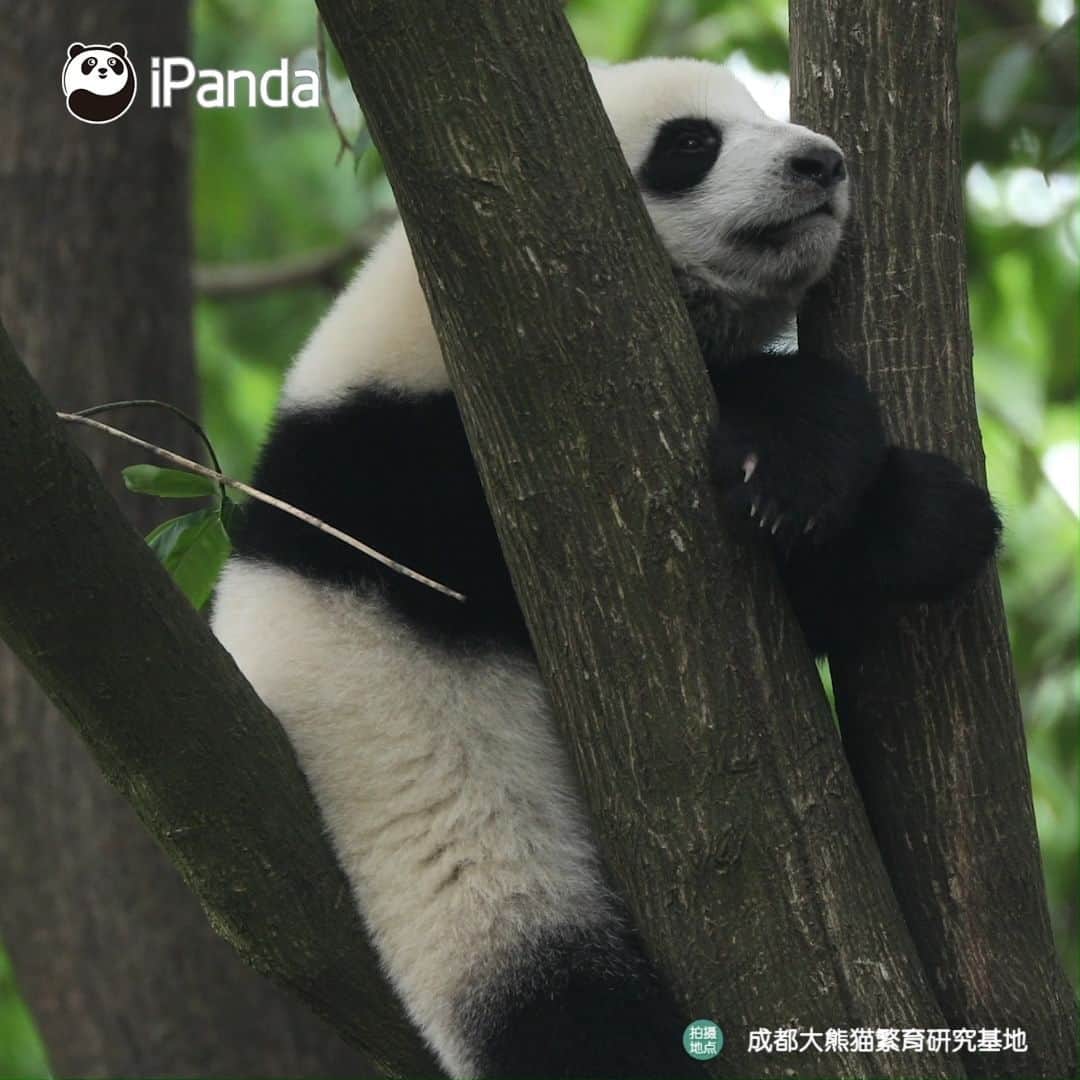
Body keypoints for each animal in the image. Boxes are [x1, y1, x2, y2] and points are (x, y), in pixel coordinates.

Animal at [211, 58, 1000, 1079]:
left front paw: (917, 518)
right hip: (428, 779)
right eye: (691, 144)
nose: (822, 162)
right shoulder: (419, 465)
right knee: (545, 984)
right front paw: (815, 457)